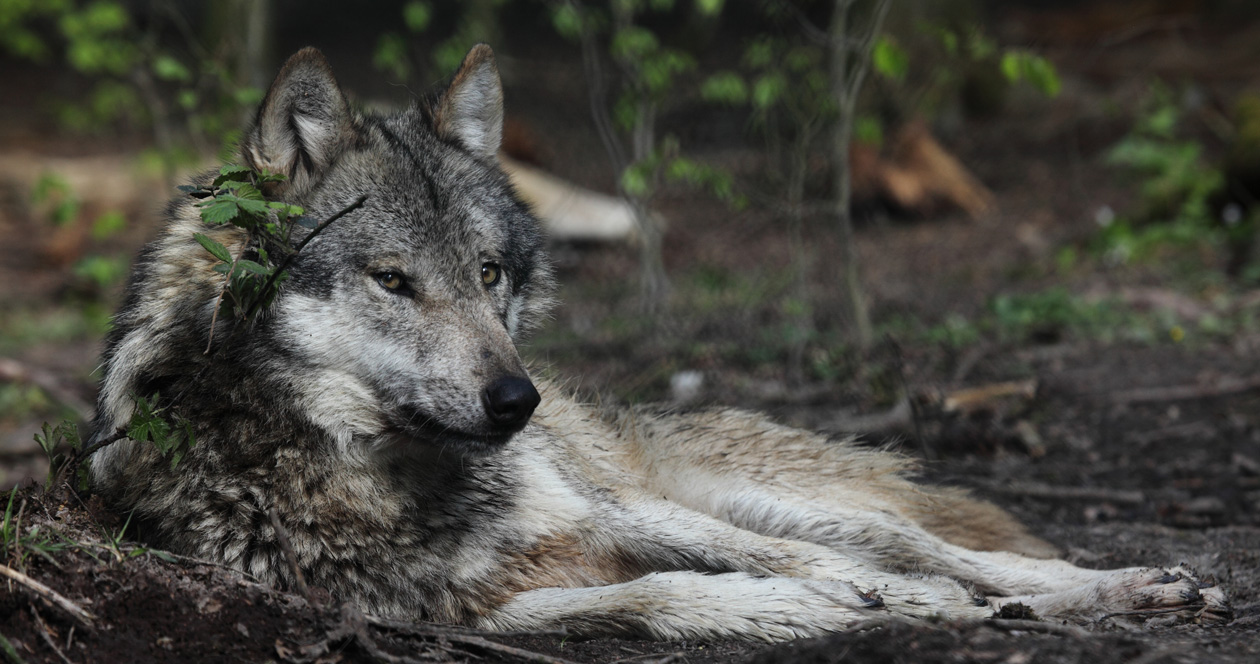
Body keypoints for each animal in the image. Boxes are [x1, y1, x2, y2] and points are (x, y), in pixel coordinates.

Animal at [88, 45, 1228, 642]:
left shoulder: (614, 510)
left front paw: (880, 598)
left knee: (943, 545)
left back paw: (1134, 585)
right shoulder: (477, 611)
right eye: (393, 280)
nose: (519, 402)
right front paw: (803, 611)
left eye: (489, 274)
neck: (367, 472)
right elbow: (662, 599)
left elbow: (798, 563)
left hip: (739, 489)